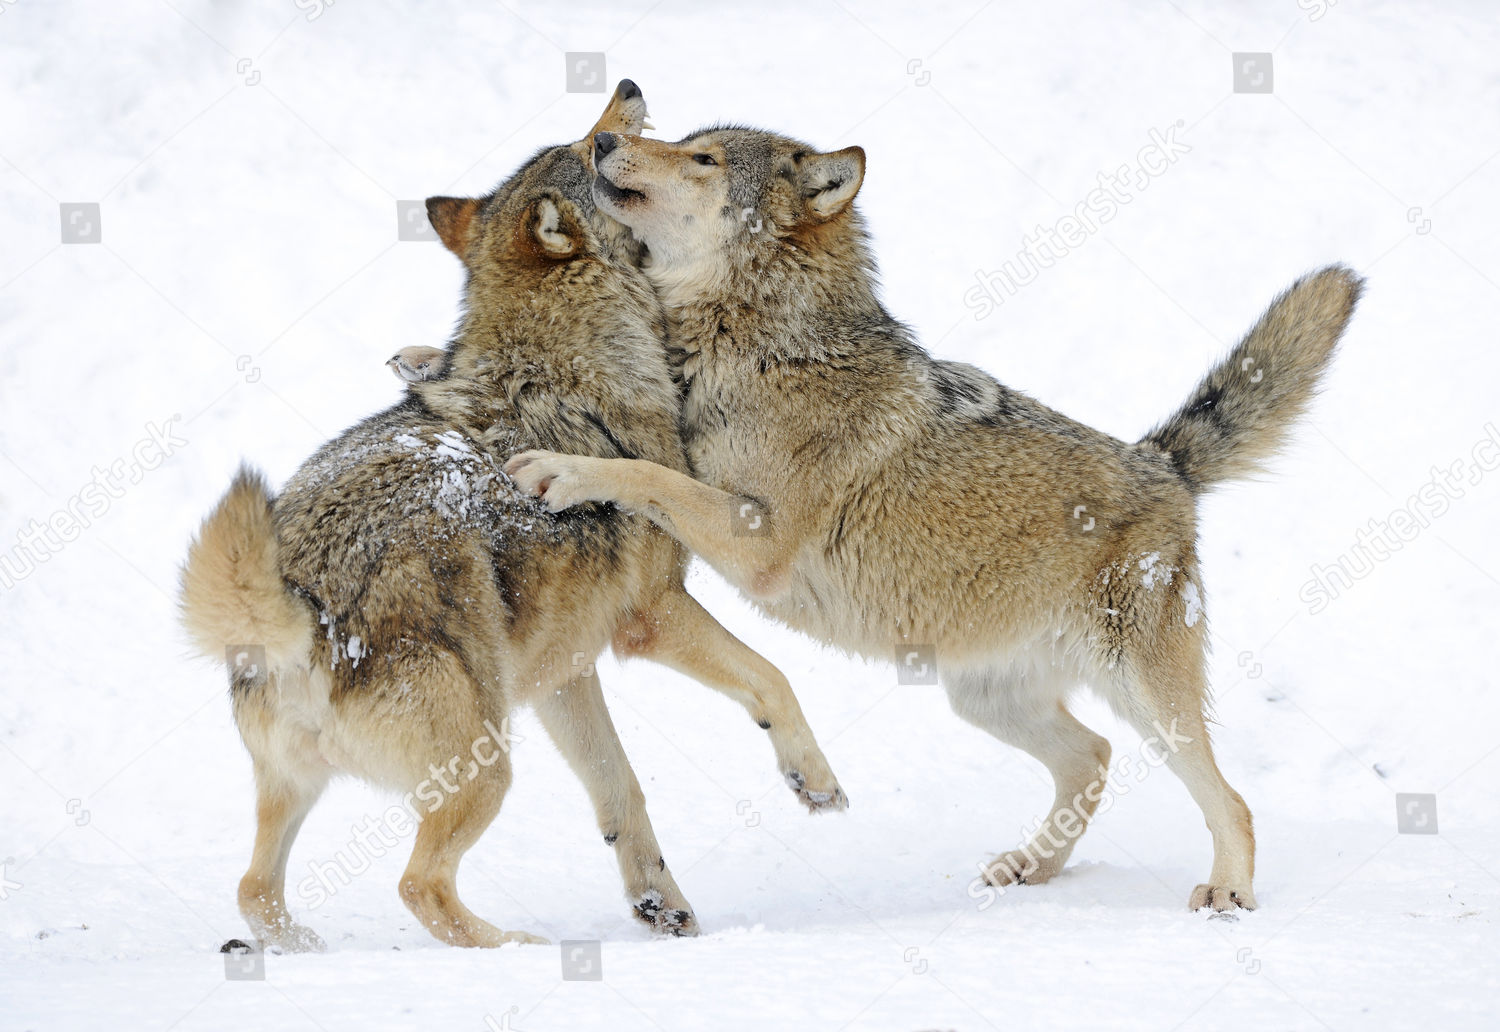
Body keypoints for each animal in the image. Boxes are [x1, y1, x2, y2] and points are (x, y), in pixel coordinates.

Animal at [179, 88, 842, 951]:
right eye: (596, 146)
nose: (625, 91)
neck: (569, 362)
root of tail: (303, 615)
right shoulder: (651, 617)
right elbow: (772, 678)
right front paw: (815, 780)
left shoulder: (565, 673)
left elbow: (622, 790)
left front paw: (661, 904)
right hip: (488, 765)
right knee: (418, 885)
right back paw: (521, 949)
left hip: (315, 784)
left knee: (254, 890)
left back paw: (305, 952)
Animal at [505, 125, 1364, 912]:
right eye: (681, 137)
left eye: (702, 158)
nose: (602, 140)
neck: (760, 345)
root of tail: (1164, 462)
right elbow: (658, 473)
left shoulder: (758, 541)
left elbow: (649, 475)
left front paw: (563, 469)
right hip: (984, 699)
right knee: (1091, 756)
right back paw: (1032, 867)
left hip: (1145, 698)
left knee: (1230, 800)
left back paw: (1227, 892)